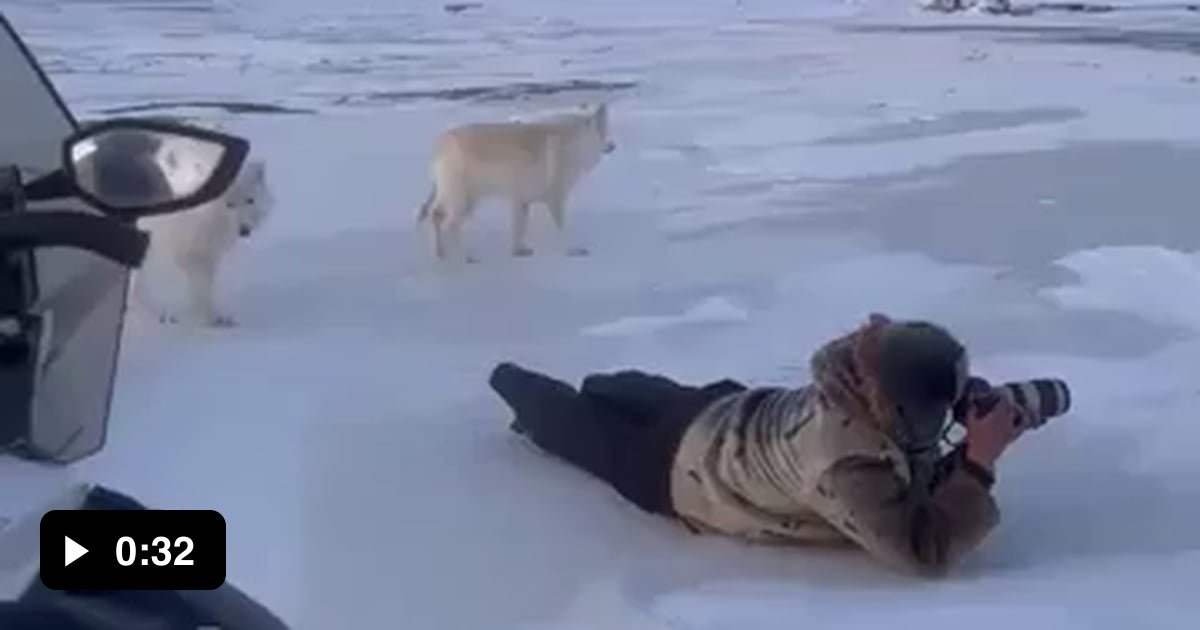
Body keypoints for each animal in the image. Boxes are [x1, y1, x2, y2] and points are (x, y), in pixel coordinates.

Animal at [131, 158, 273, 327]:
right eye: (229, 204)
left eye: (250, 200)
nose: (244, 230)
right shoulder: (191, 255)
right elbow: (202, 289)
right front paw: (211, 317)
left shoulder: (207, 255)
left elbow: (205, 287)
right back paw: (161, 315)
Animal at [415, 104, 615, 262]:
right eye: (605, 131)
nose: (613, 146)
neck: (573, 143)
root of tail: (441, 143)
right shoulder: (555, 199)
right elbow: (562, 229)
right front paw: (573, 249)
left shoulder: (522, 201)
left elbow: (519, 229)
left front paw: (520, 251)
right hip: (462, 202)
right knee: (448, 226)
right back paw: (463, 257)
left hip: (461, 200)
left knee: (436, 217)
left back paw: (440, 254)